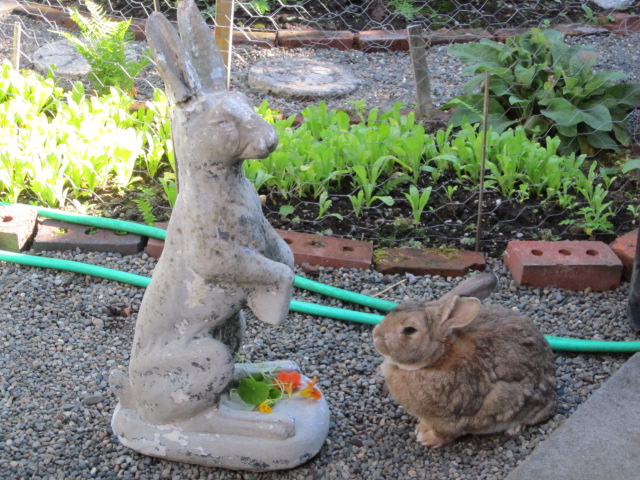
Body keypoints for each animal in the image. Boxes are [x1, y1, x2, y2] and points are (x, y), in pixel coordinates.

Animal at [372, 272, 555, 447]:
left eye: (409, 330)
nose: (375, 335)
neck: (438, 359)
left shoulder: (448, 421)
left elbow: (445, 433)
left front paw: (426, 438)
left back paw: (515, 427)